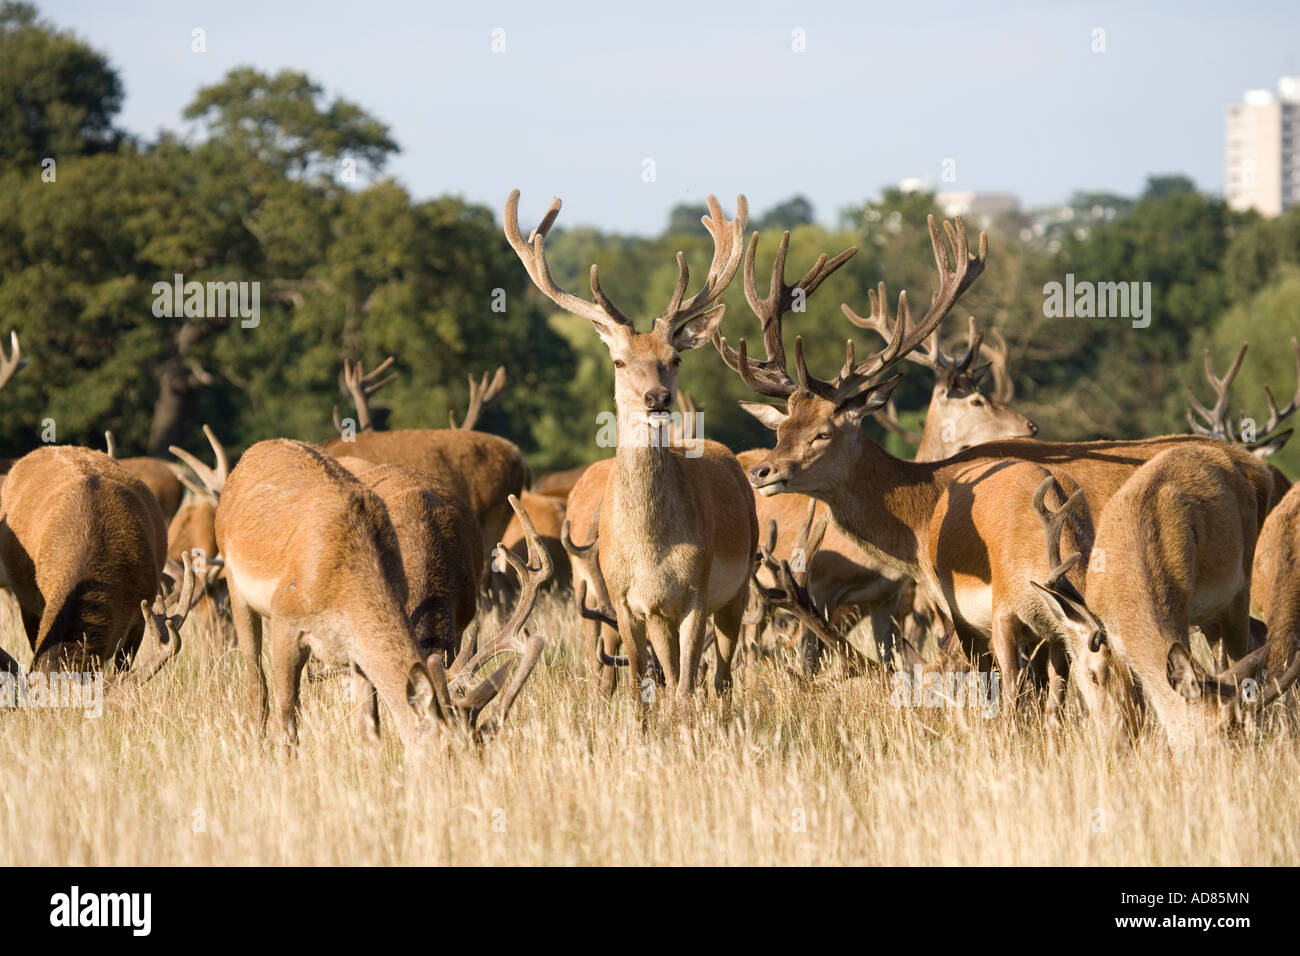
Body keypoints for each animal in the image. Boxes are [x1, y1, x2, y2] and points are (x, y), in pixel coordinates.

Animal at [505, 189, 757, 698]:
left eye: (675, 358)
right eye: (619, 361)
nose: (657, 397)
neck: (650, 553)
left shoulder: (697, 593)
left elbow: (684, 689)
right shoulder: (625, 600)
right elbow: (643, 685)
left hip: (738, 585)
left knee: (721, 677)